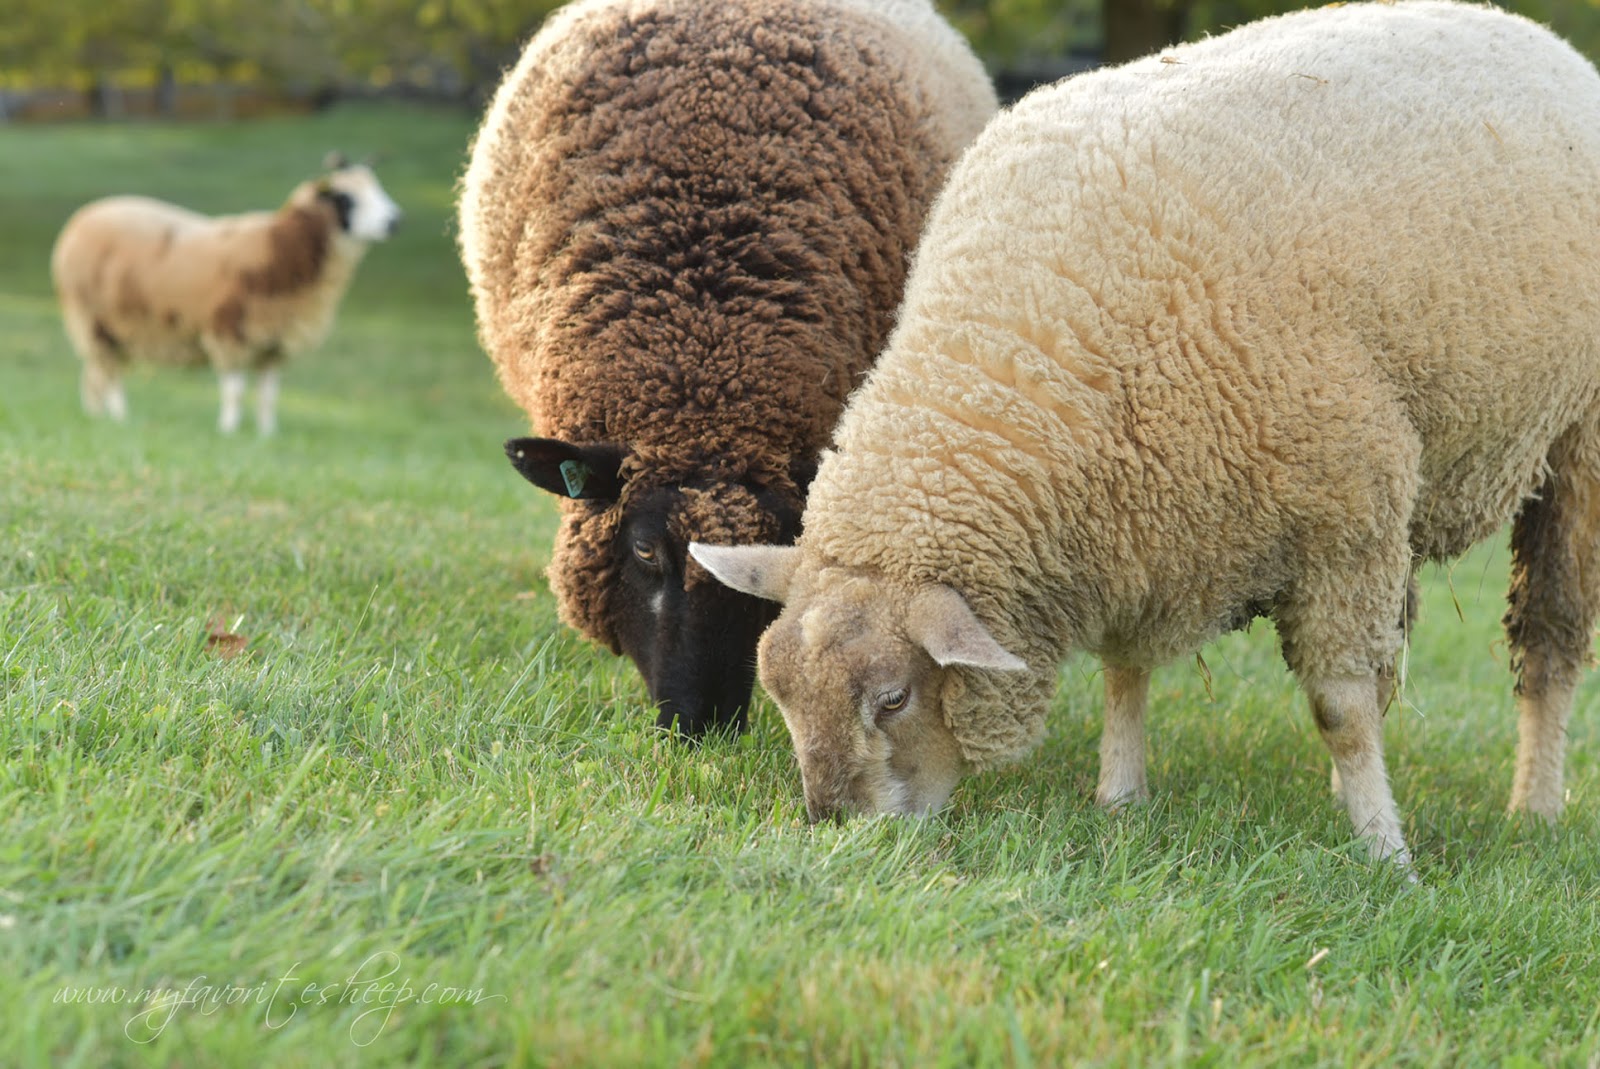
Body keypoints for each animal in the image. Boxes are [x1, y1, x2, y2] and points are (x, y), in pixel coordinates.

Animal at [51, 155, 401, 435]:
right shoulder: (229, 332)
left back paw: (97, 415)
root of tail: (79, 220)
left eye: (378, 189)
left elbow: (268, 395)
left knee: (95, 373)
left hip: (109, 329)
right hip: (94, 321)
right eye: (346, 198)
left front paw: (267, 434)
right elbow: (235, 391)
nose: (395, 220)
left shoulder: (272, 345)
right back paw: (120, 416)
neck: (278, 248)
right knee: (110, 375)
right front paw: (229, 431)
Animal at [692, 0, 1600, 865]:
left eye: (893, 697)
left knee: (1548, 643)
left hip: (1576, 442)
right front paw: (1120, 797)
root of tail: (1535, 36)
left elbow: (1339, 707)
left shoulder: (1345, 512)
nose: (835, 827)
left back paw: (1533, 806)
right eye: (777, 689)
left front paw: (1385, 853)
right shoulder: (1138, 519)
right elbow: (1124, 668)